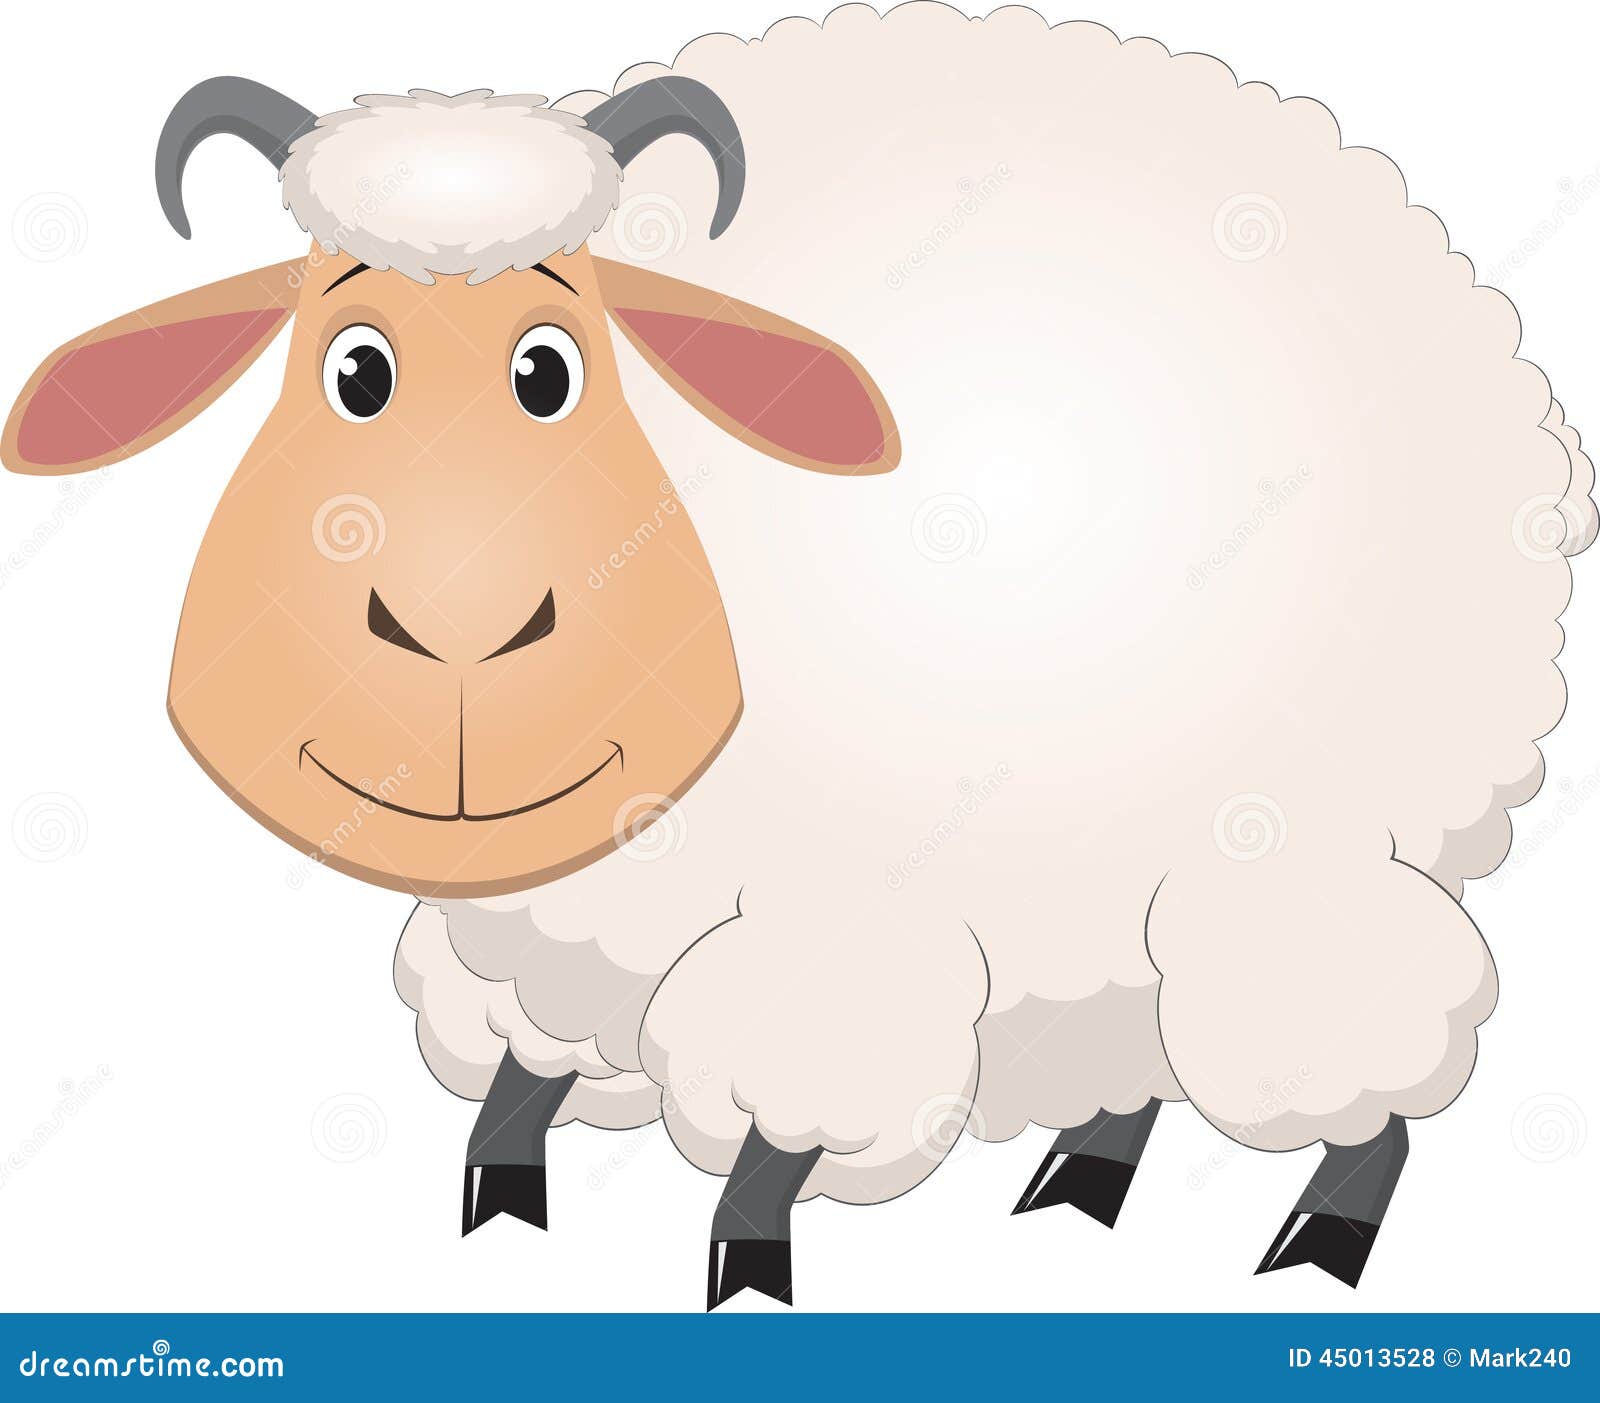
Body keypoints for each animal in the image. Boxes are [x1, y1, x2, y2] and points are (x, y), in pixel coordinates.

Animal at [4, 0, 1593, 1312]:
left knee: (1344, 1058)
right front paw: (500, 1192)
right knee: (1128, 1038)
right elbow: (528, 1069)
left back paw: (1319, 1236)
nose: (452, 637)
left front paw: (745, 1264)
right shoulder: (583, 925)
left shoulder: (834, 926)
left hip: (1289, 852)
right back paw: (1079, 1182)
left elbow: (782, 1122)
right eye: (350, 368)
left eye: (549, 366)